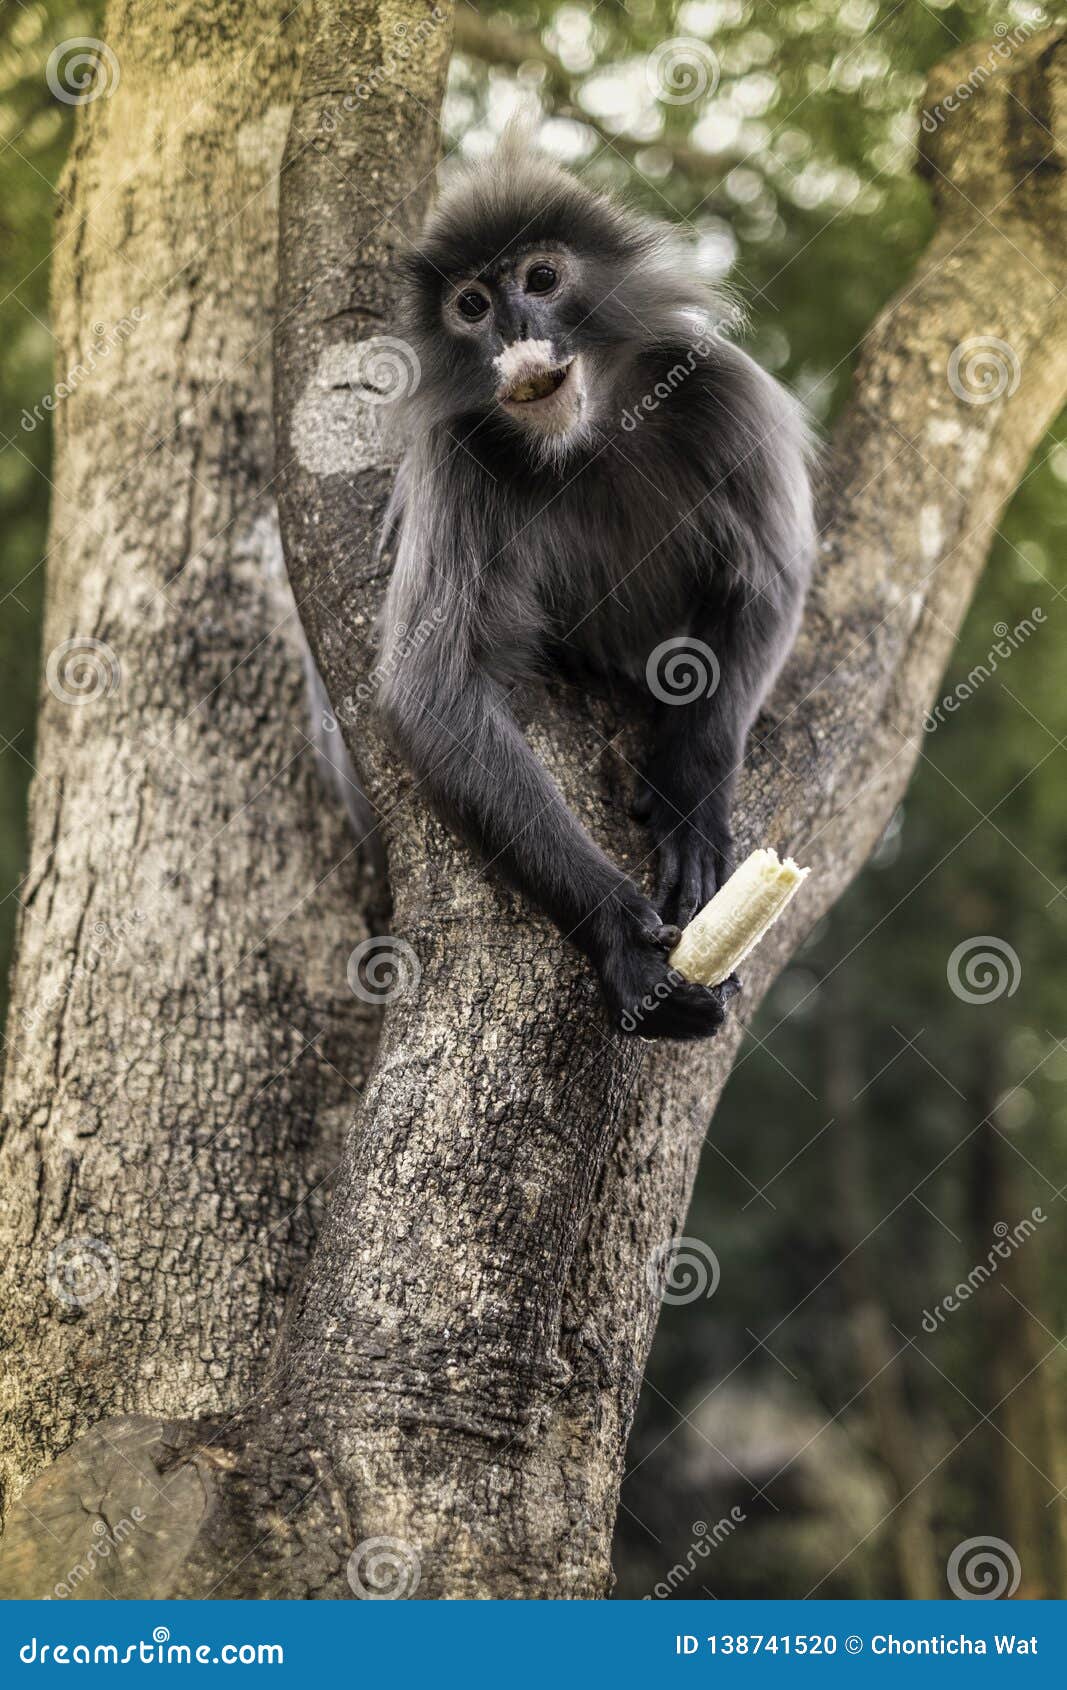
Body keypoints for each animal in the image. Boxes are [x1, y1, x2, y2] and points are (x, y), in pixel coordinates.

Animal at [372, 134, 815, 1041]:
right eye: (472, 304)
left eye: (541, 279)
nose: (514, 328)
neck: (591, 430)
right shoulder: (457, 457)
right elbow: (431, 686)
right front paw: (620, 939)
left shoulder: (721, 386)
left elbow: (771, 577)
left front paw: (690, 796)